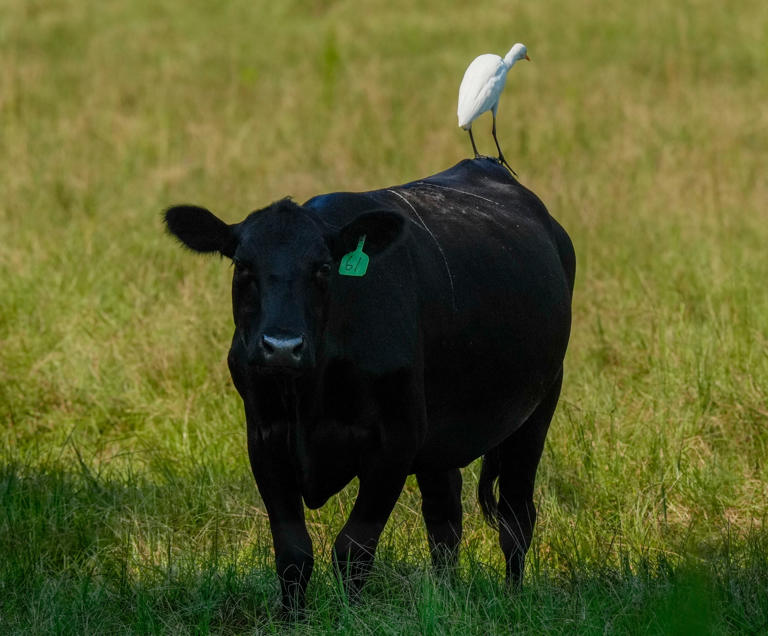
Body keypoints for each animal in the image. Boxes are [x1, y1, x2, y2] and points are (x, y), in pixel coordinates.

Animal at [164, 158, 575, 613]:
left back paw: (513, 597)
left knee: (516, 513)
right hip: (441, 433)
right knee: (445, 516)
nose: (282, 347)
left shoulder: (395, 440)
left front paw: (351, 616)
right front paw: (291, 618)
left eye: (324, 268)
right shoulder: (265, 438)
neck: (309, 396)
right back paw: (444, 597)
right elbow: (292, 551)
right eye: (243, 266)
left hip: (538, 407)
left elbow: (353, 547)